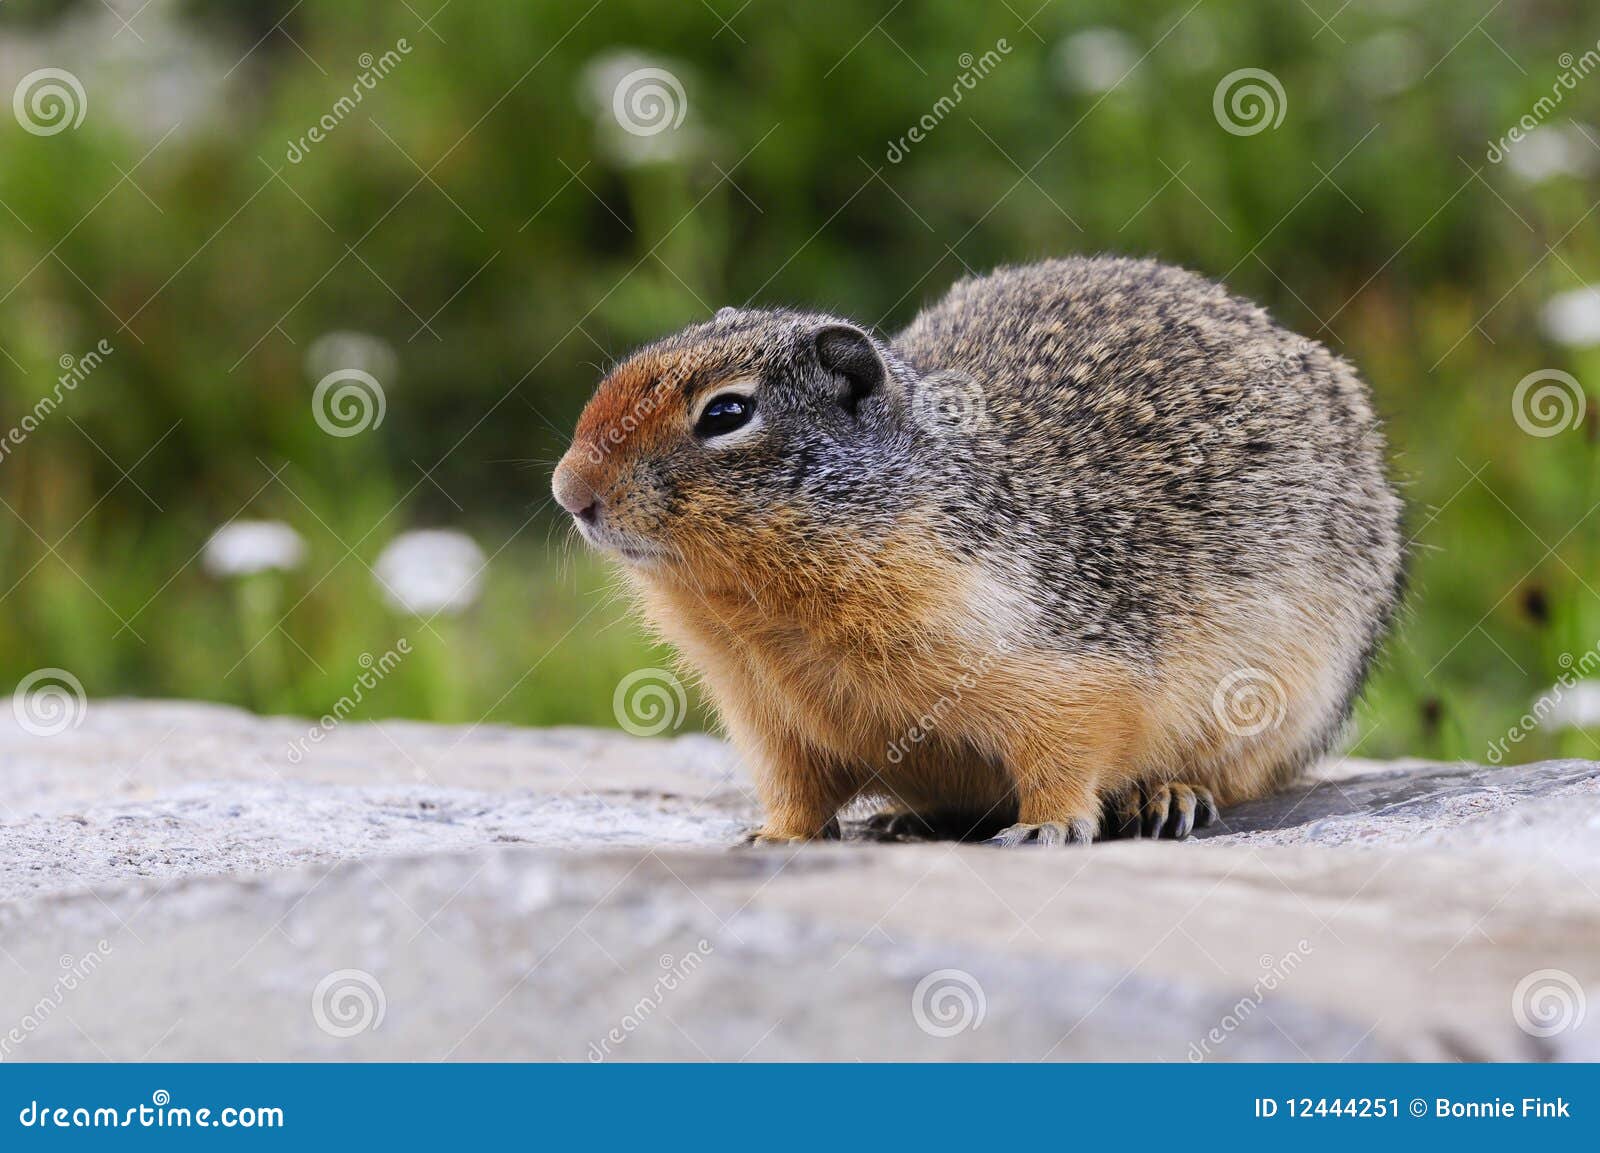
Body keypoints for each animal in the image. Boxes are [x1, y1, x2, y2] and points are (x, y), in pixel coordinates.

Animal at [553, 256, 1405, 846]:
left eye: (726, 412)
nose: (569, 490)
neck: (759, 616)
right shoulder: (769, 719)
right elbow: (795, 789)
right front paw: (774, 835)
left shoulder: (1065, 668)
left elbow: (1066, 755)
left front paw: (1046, 825)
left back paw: (1166, 796)